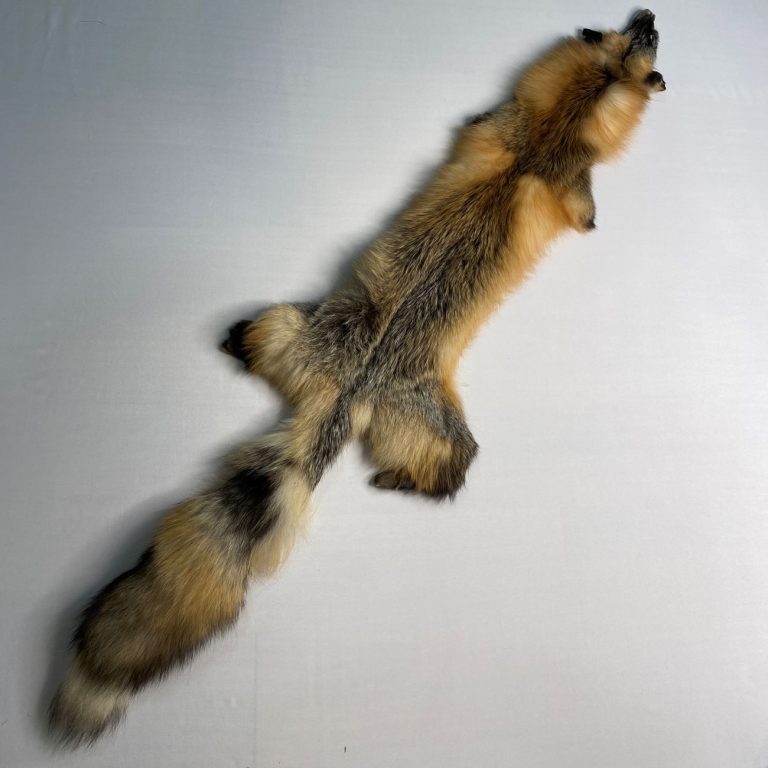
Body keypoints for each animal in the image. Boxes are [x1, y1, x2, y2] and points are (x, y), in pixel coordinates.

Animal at [49, 10, 665, 745]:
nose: (651, 16)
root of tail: (349, 389)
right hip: (445, 429)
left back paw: (236, 344)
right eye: (640, 46)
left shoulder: (500, 125)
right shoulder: (570, 182)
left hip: (290, 323)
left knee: (259, 337)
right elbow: (585, 209)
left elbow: (481, 120)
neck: (548, 135)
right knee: (450, 466)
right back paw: (403, 481)